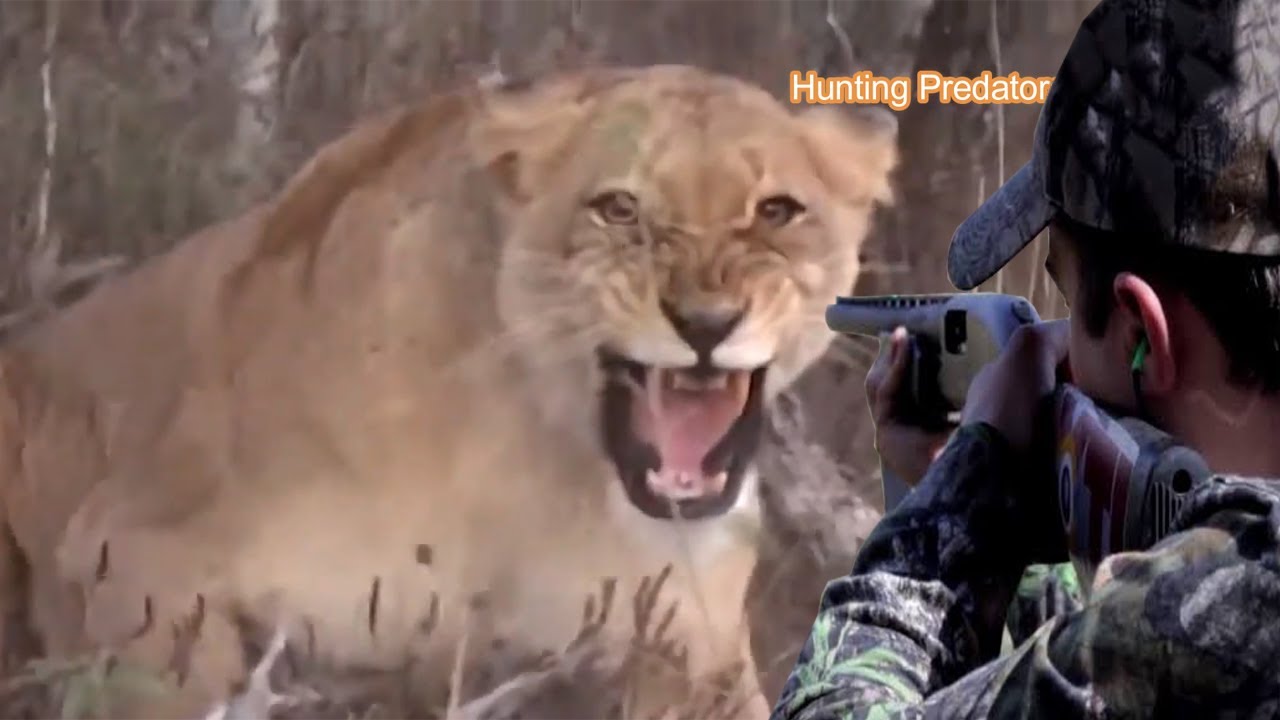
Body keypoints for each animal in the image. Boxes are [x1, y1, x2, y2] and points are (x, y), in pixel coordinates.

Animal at [0, 64, 897, 718]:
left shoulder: (690, 649)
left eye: (777, 210)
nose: (706, 321)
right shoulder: (133, 554)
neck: (549, 466)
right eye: (619, 209)